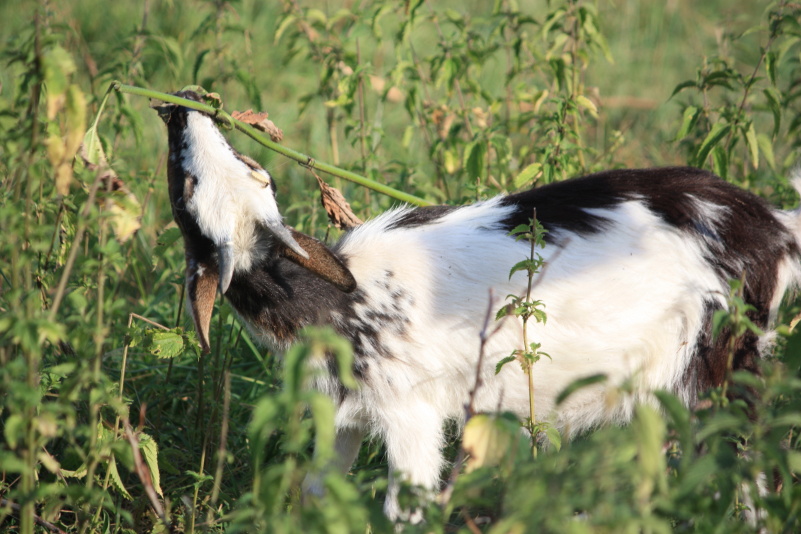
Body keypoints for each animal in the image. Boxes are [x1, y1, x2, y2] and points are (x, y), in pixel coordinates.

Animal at [155, 90, 801, 521]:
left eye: (190, 182)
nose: (177, 106)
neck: (340, 299)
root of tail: (774, 227)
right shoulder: (346, 414)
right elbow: (317, 493)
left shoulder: (409, 411)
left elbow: (405, 510)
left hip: (719, 372)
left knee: (752, 474)